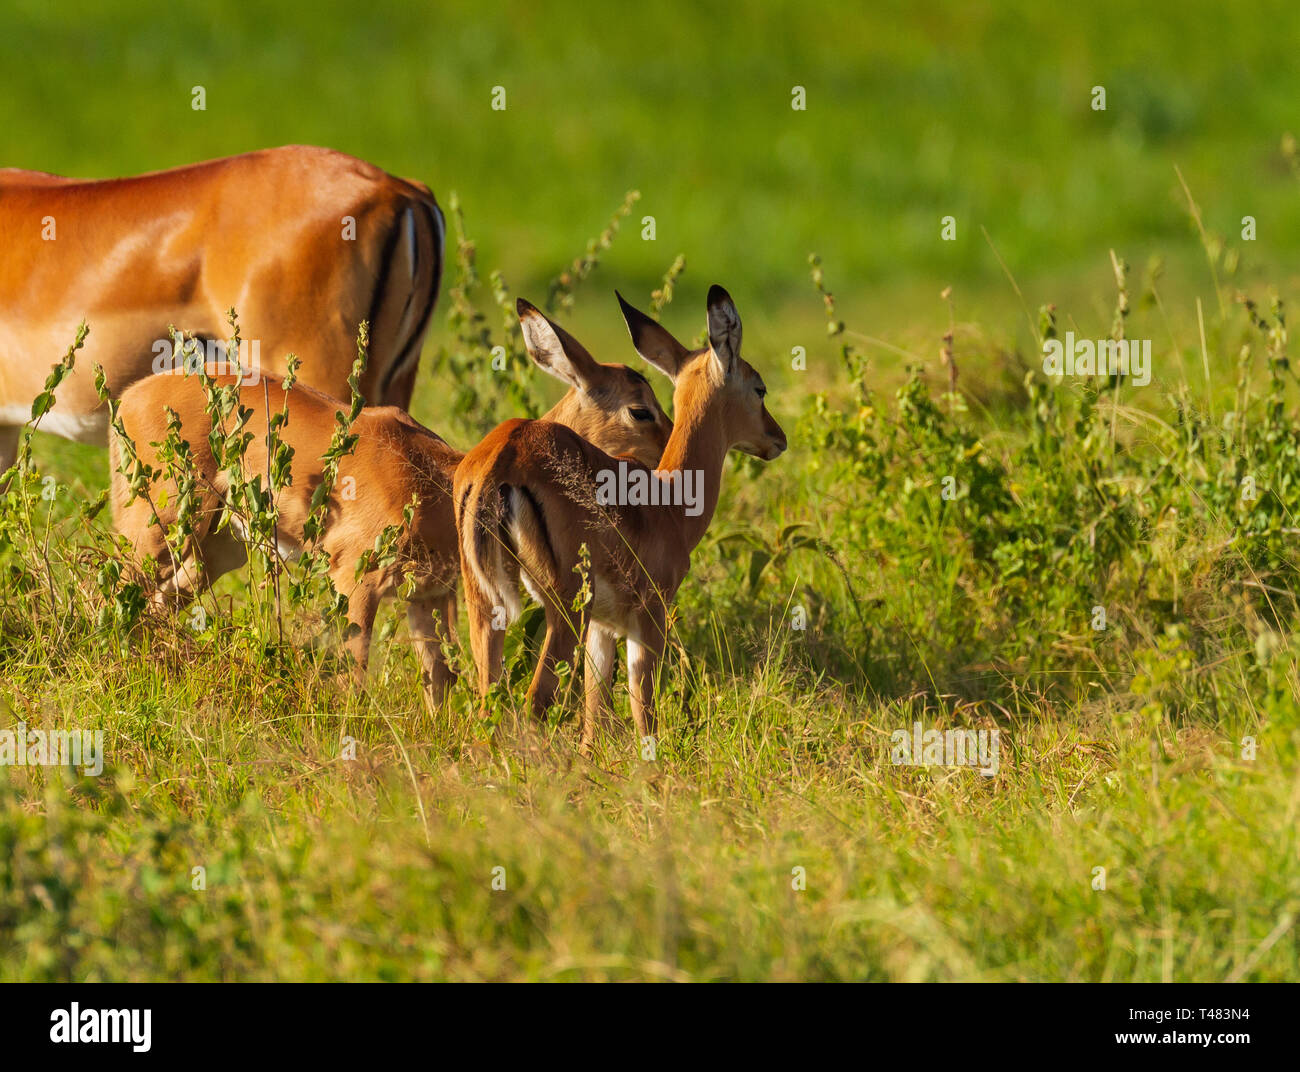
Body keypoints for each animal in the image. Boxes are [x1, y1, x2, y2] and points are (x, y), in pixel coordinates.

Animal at [109, 300, 671, 710]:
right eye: (640, 409)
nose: (669, 465)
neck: (440, 478)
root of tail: (133, 395)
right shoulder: (355, 580)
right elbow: (355, 675)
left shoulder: (426, 595)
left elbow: (439, 680)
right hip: (160, 528)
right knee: (114, 594)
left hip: (217, 547)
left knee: (153, 608)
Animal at [455, 286, 786, 752]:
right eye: (759, 389)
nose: (778, 439)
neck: (669, 503)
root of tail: (502, 458)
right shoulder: (648, 618)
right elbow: (643, 710)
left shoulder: (603, 628)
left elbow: (595, 717)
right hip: (565, 609)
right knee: (534, 701)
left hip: (485, 604)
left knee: (487, 701)